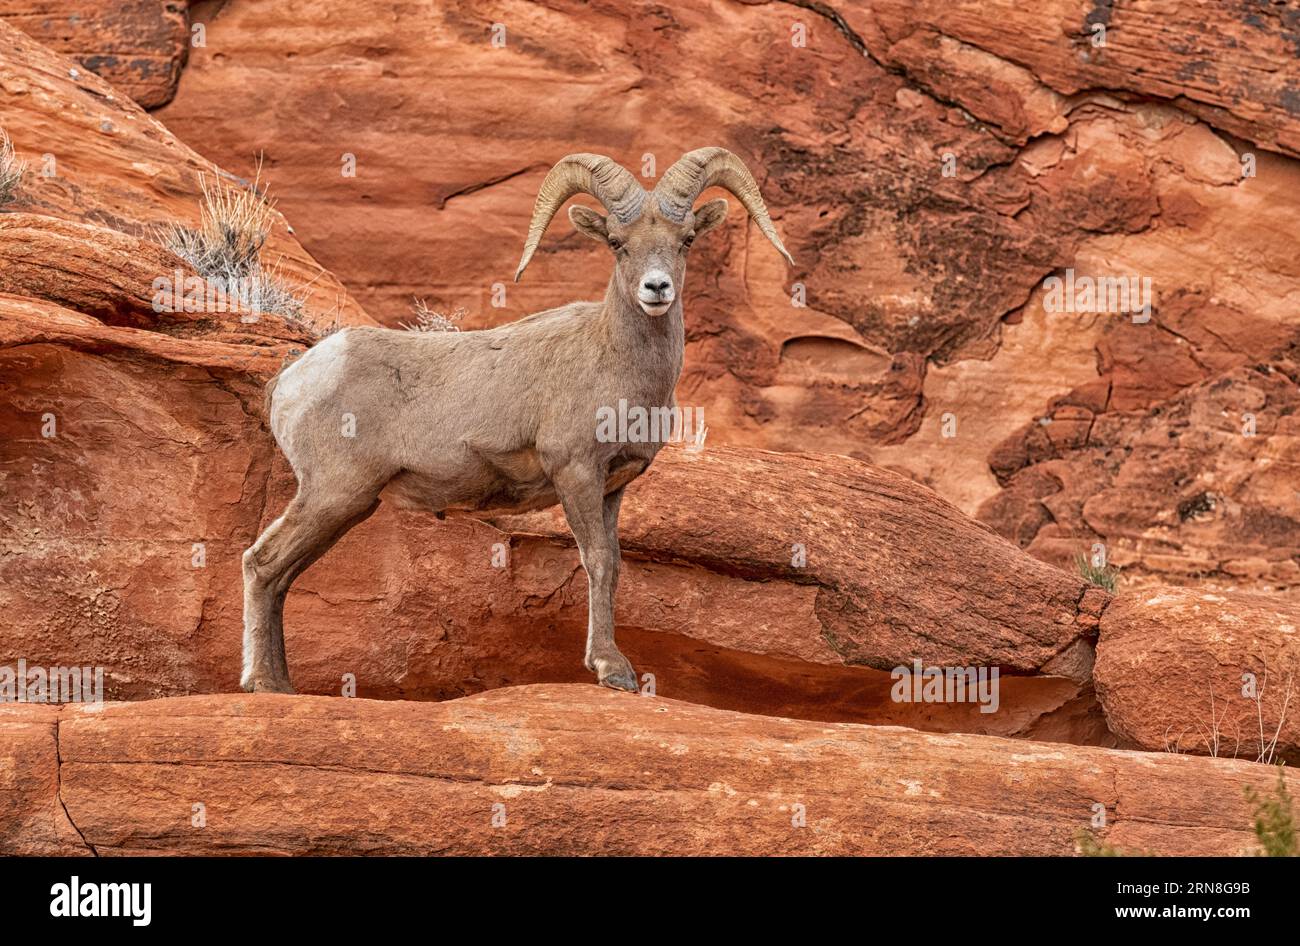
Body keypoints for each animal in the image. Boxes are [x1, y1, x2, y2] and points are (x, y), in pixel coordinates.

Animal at [241, 148, 793, 694]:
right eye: (618, 243)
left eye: (686, 241)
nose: (655, 289)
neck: (614, 360)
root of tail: (291, 379)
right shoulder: (575, 472)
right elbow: (597, 560)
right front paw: (612, 670)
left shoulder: (612, 487)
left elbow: (614, 565)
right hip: (334, 493)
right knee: (262, 563)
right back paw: (264, 683)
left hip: (348, 506)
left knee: (280, 575)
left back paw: (280, 684)